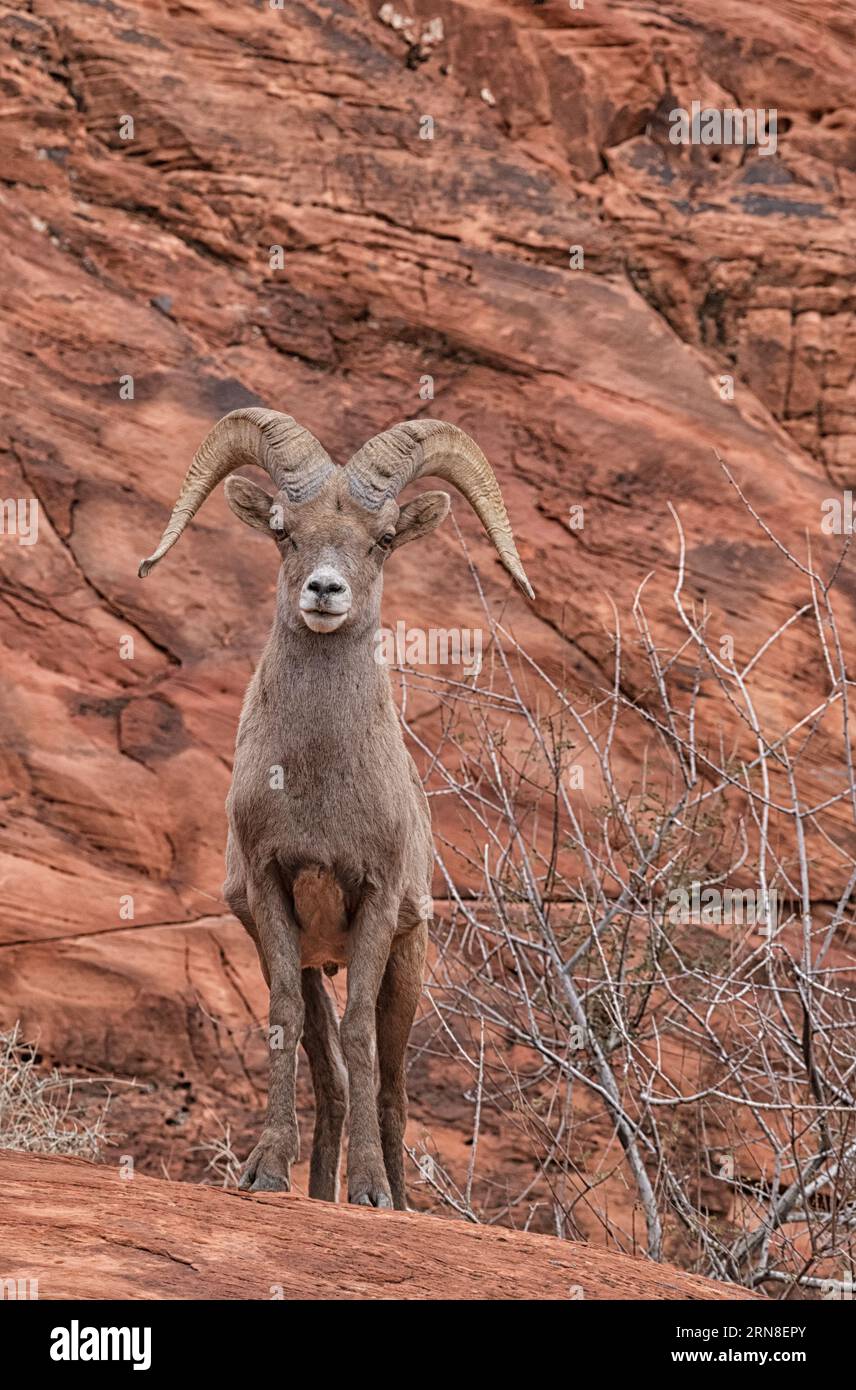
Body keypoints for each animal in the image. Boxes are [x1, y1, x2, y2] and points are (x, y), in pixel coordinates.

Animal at [139, 410, 533, 1208]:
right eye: (283, 531)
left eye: (381, 539)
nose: (325, 591)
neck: (316, 784)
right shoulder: (271, 897)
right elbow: (286, 1023)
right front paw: (264, 1173)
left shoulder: (378, 903)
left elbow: (360, 1041)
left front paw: (373, 1193)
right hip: (314, 957)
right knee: (330, 1080)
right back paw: (317, 1192)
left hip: (407, 964)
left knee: (387, 1086)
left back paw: (397, 1199)